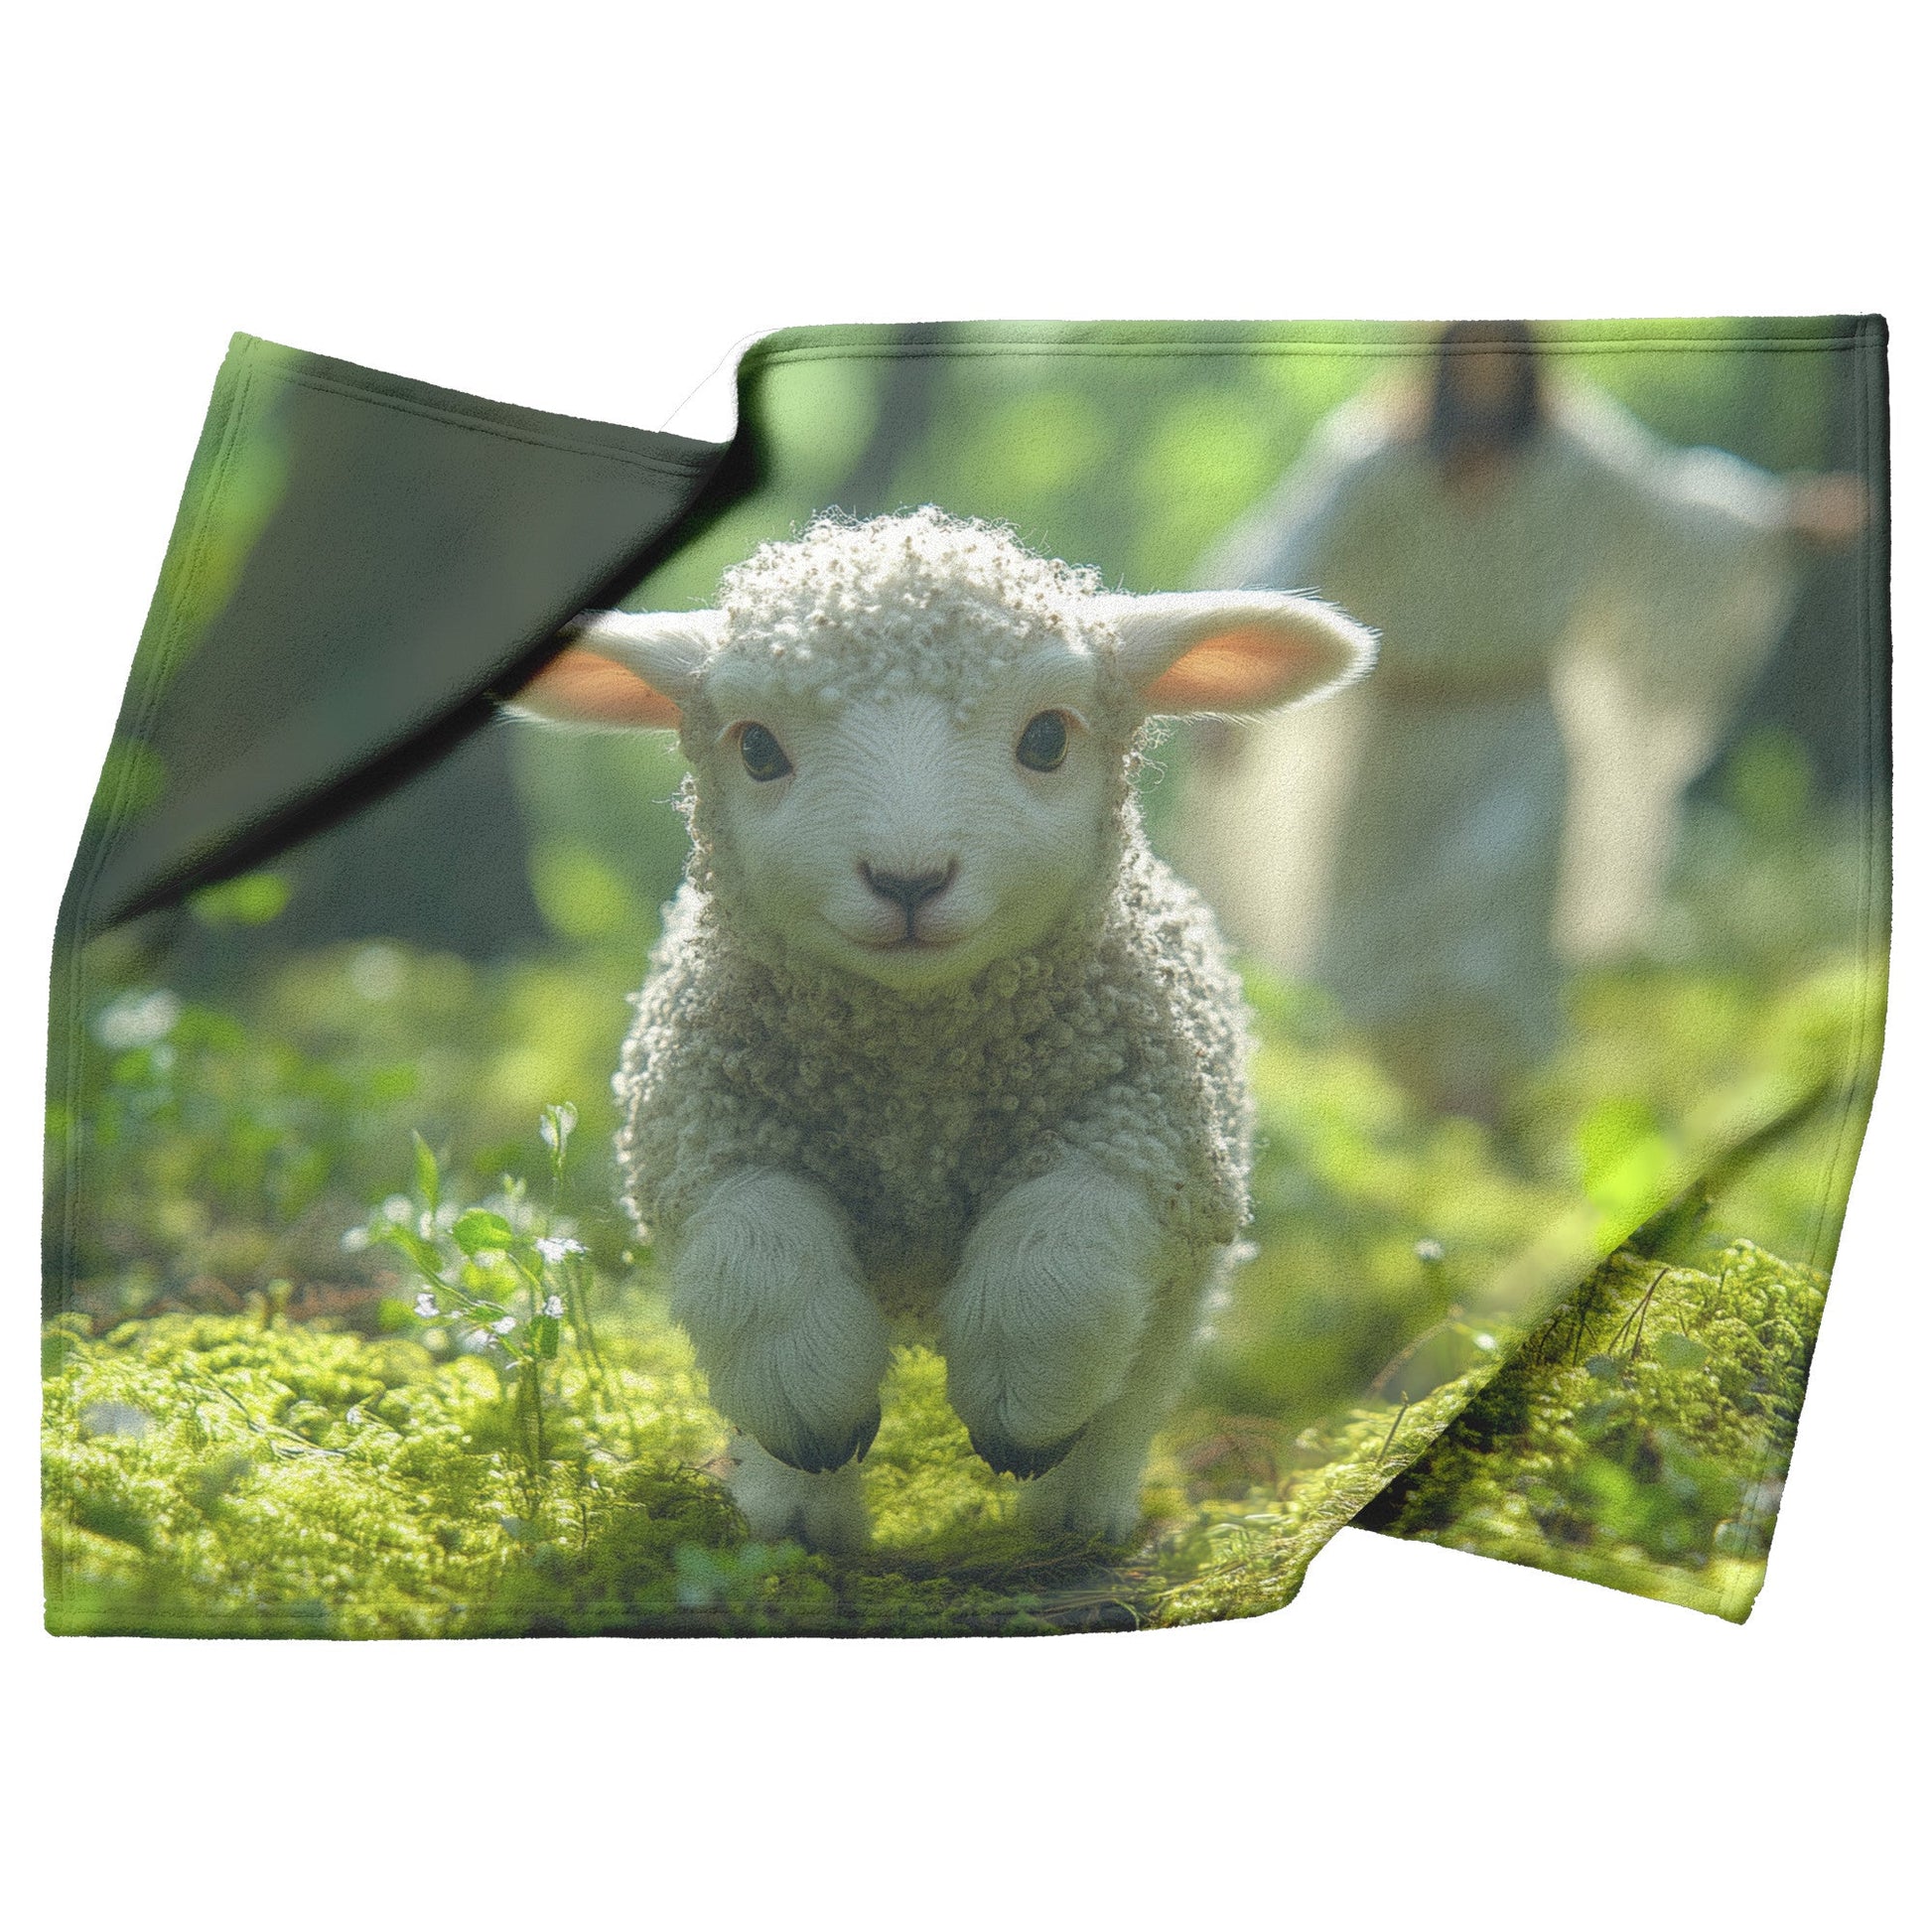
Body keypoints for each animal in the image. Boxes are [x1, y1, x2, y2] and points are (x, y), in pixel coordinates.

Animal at [510, 508, 1375, 1552]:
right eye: (756, 750)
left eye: (1045, 738)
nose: (909, 879)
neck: (917, 1080)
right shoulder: (707, 1130)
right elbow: (755, 1263)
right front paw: (812, 1413)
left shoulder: (1143, 1130)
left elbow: (1059, 1259)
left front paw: (1019, 1412)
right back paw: (798, 1517)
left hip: (1189, 1263)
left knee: (1136, 1389)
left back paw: (1076, 1515)